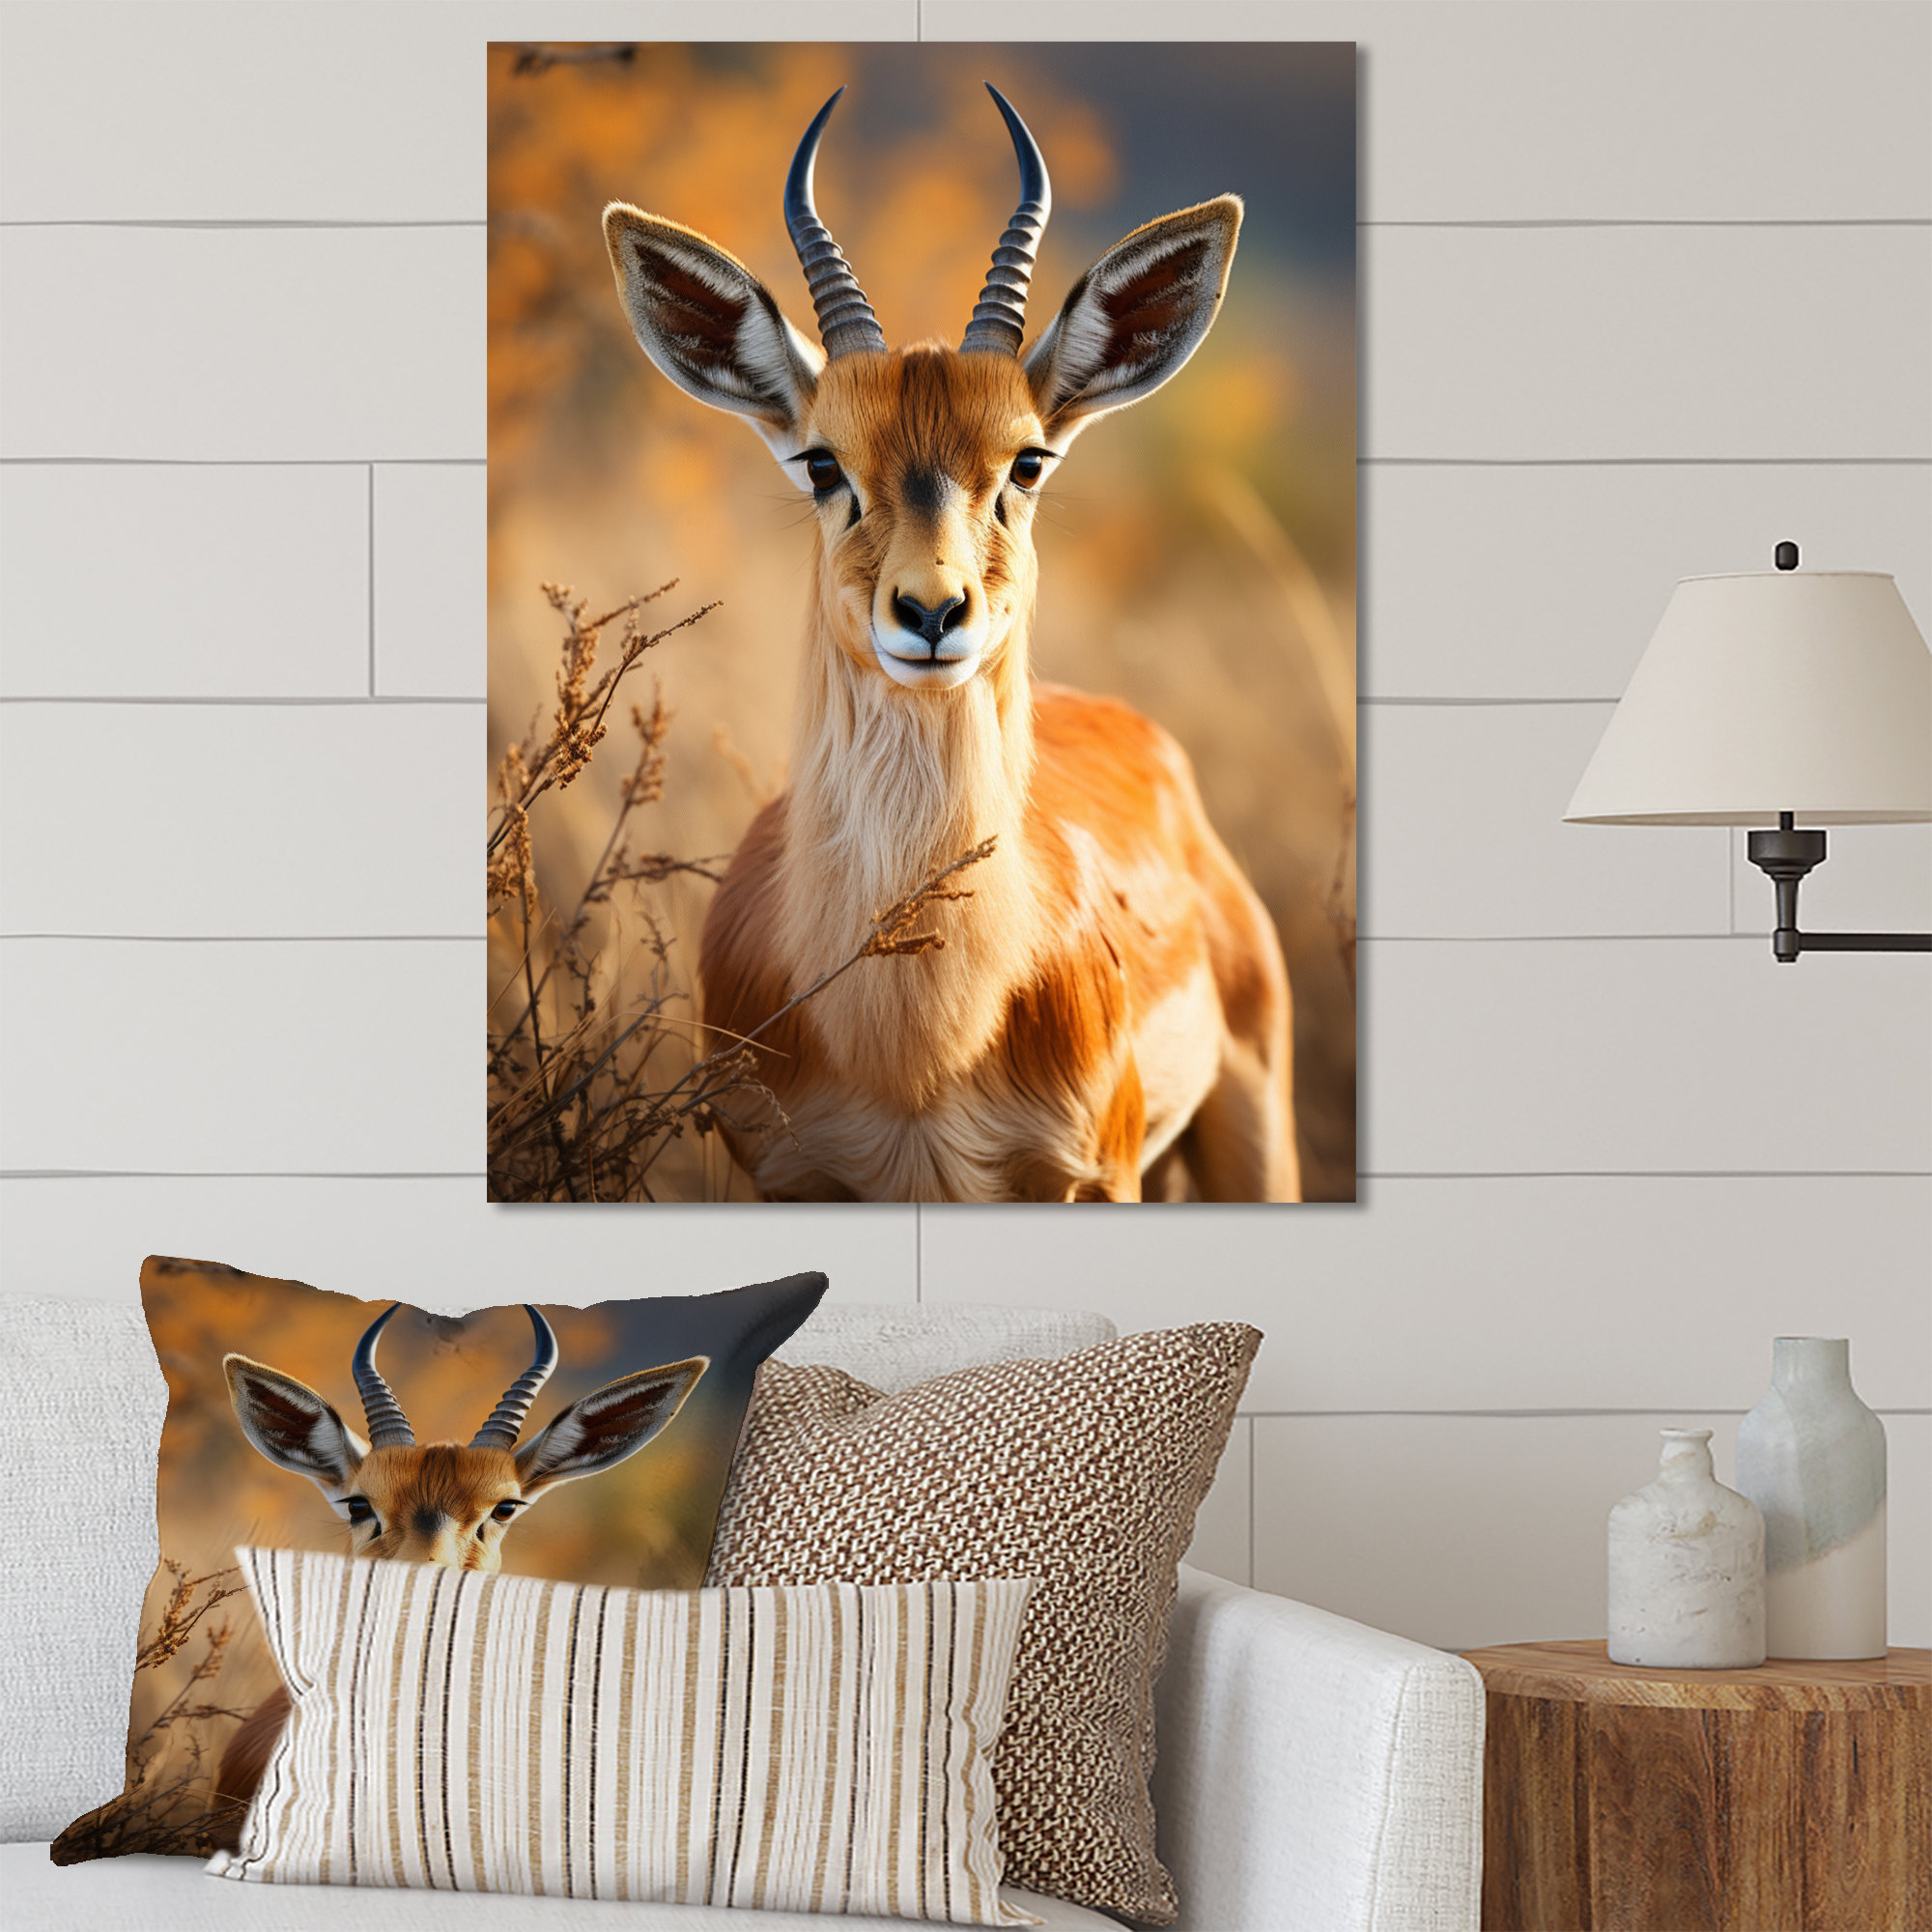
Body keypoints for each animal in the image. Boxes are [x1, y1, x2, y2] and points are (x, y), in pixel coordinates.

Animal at [604, 85, 1299, 1202]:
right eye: (821, 462)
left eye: (1027, 460)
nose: (931, 612)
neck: (918, 1054)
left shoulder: (1093, 1176)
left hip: (1252, 1125)